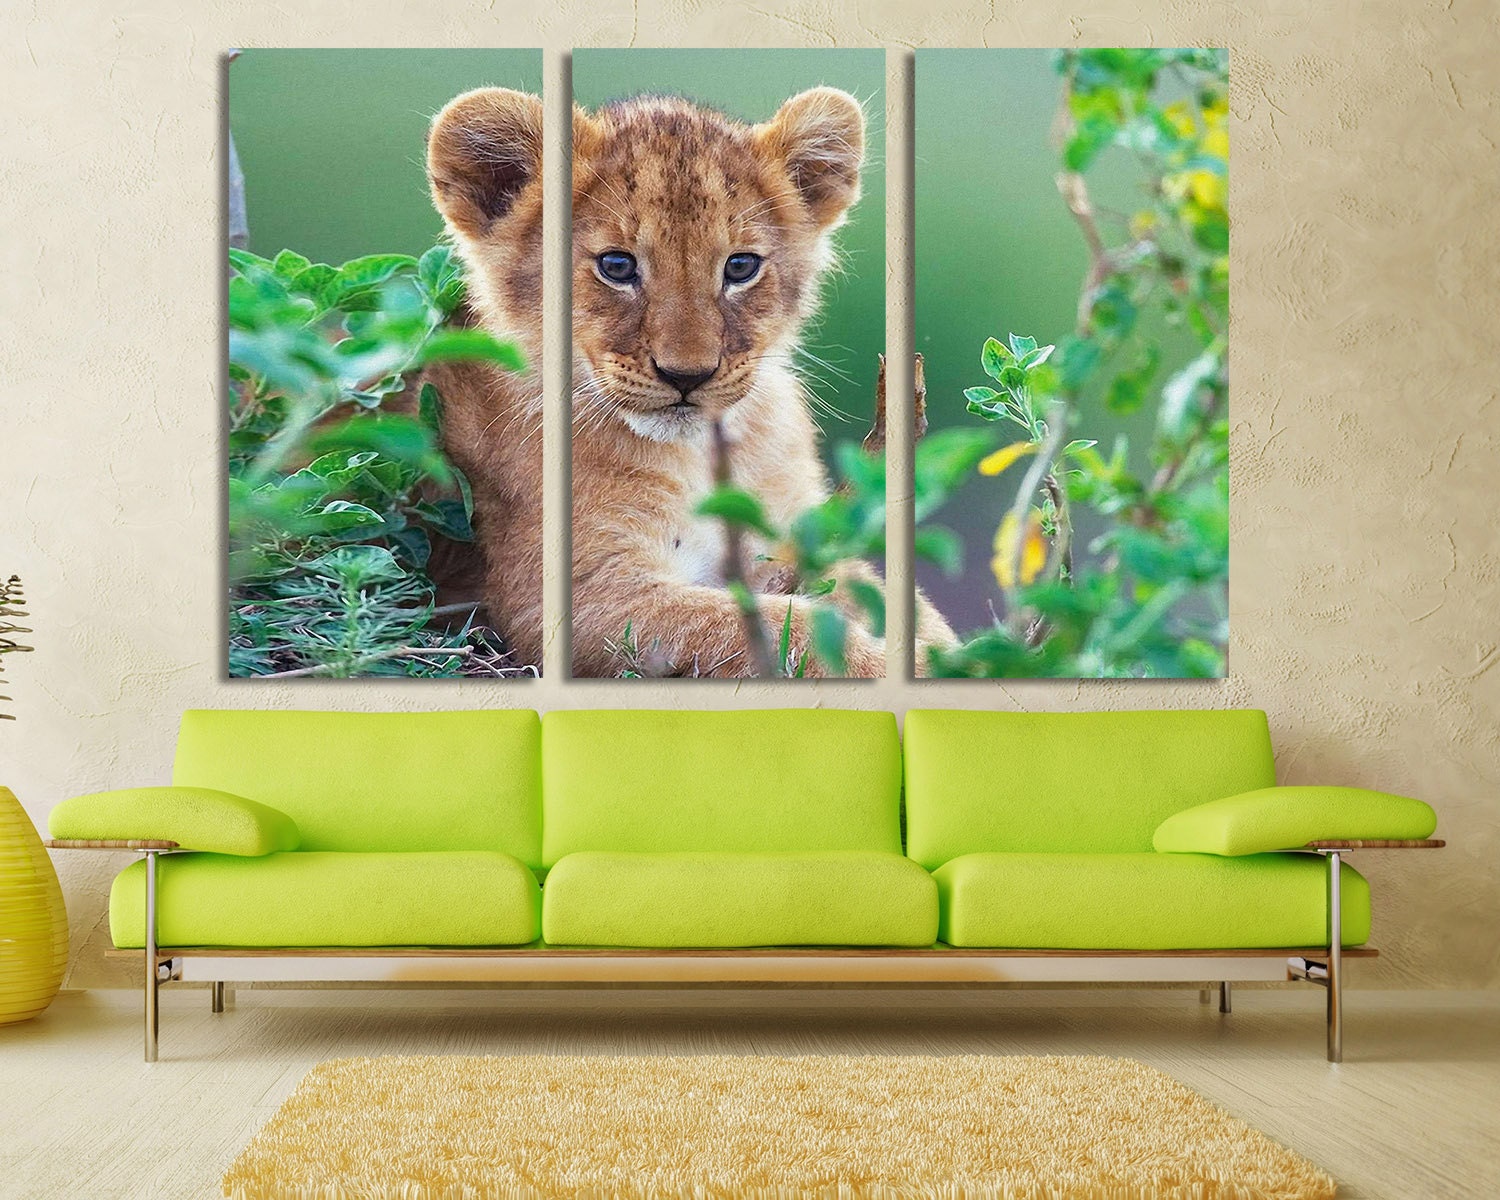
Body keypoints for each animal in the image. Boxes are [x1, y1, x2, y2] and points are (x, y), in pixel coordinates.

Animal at [425, 86, 955, 678]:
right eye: (616, 265)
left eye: (741, 266)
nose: (688, 375)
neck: (700, 454)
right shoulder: (569, 598)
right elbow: (762, 625)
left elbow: (881, 593)